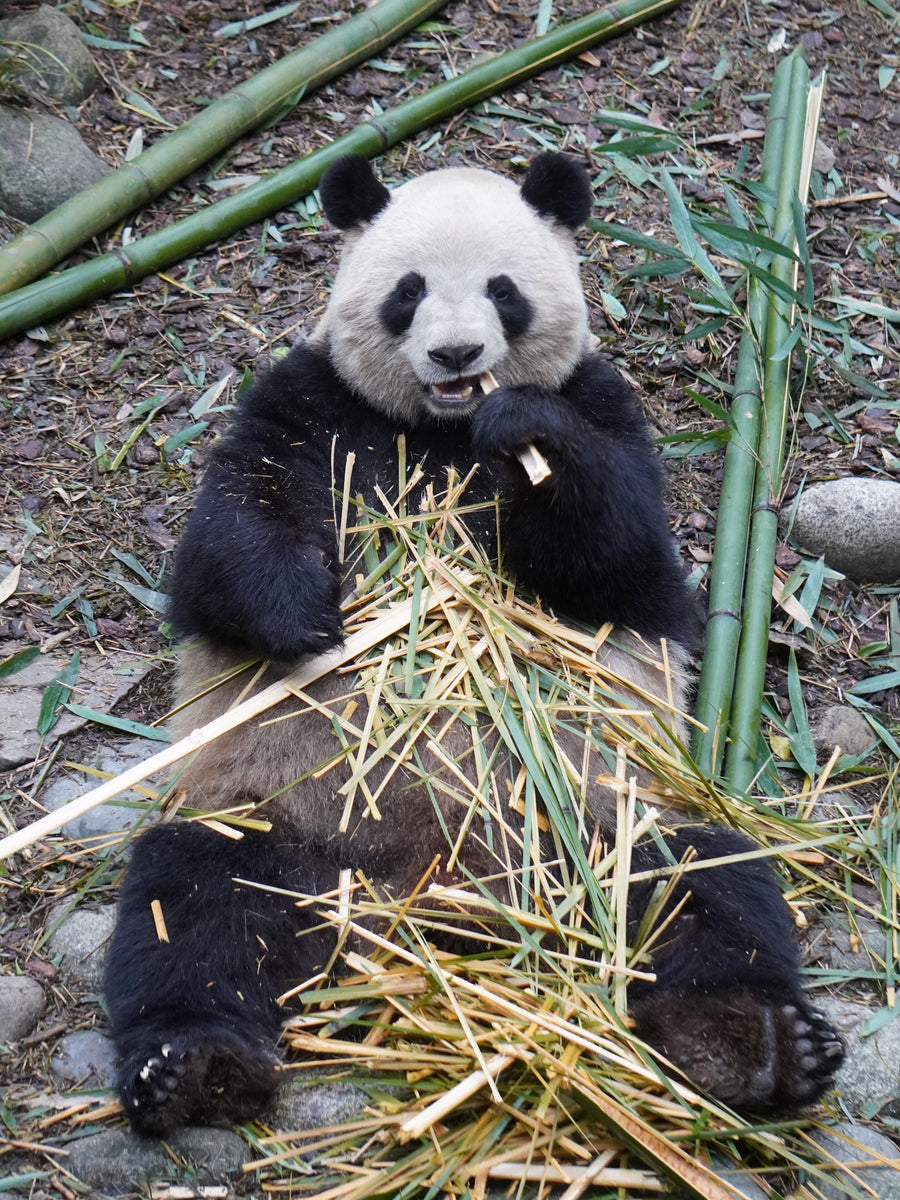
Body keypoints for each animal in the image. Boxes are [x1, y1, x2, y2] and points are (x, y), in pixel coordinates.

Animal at [105, 153, 843, 1136]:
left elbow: (625, 562)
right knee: (196, 904)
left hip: (596, 824)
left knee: (705, 882)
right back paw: (198, 1066)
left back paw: (751, 1044)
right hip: (282, 819)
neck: (443, 428)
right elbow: (224, 544)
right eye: (408, 291)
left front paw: (529, 436)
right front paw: (307, 617)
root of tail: (444, 896)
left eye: (503, 291)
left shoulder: (602, 405)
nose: (457, 355)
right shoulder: (308, 402)